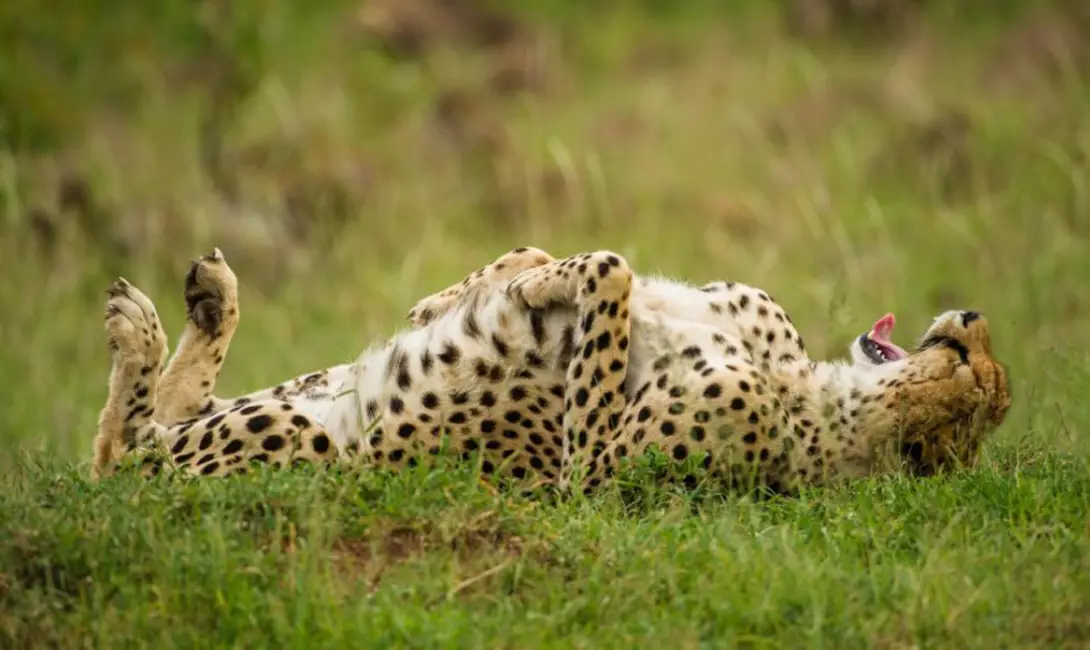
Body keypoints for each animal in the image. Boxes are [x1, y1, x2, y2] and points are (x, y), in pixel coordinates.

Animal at [93, 246, 1011, 495]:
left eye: (976, 374)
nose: (971, 317)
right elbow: (548, 257)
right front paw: (454, 300)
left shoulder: (589, 477)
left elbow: (610, 269)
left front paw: (537, 292)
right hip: (300, 392)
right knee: (155, 425)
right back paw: (204, 302)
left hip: (305, 446)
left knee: (125, 459)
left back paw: (141, 332)